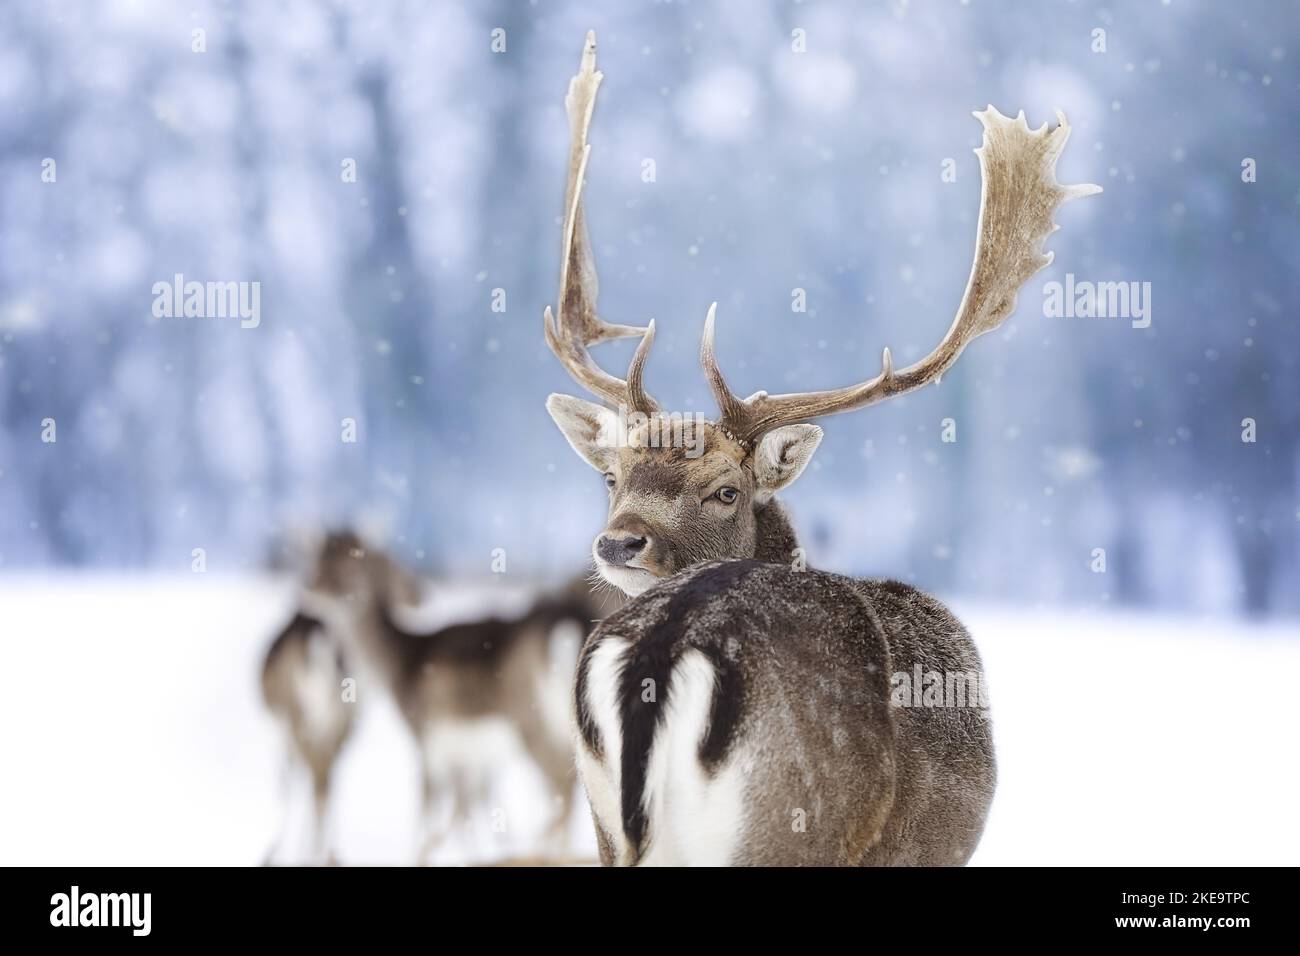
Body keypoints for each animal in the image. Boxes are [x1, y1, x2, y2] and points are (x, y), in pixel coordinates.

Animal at [300, 531, 615, 863]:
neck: (398, 667)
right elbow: (466, 814)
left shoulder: (425, 738)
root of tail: (568, 625)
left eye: (350, 562)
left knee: (561, 788)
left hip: (531, 719)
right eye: (318, 557)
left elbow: (427, 810)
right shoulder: (468, 755)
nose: (310, 590)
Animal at [542, 32, 1100, 865]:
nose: (618, 542)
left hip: (610, 827)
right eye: (611, 476)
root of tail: (662, 652)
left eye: (725, 489)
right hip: (786, 823)